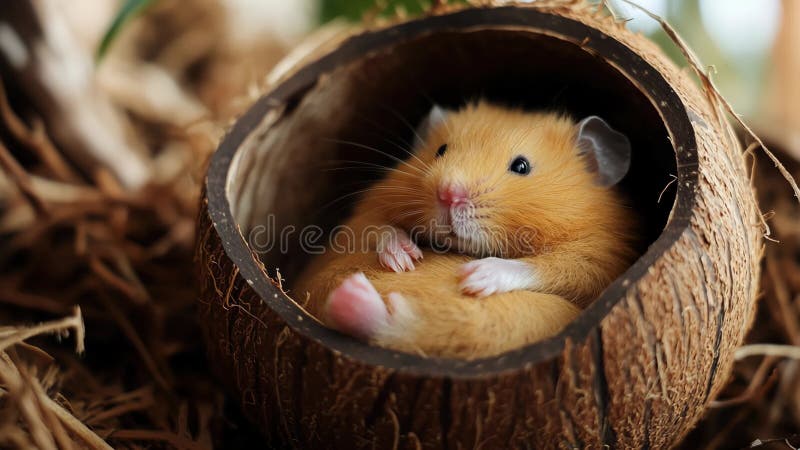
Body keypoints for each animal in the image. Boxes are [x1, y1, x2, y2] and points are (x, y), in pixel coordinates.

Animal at [294, 100, 637, 360]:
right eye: (441, 150)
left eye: (521, 166)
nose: (449, 193)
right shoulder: (369, 210)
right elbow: (377, 228)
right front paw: (405, 259)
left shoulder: (597, 260)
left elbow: (543, 267)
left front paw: (475, 276)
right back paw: (352, 292)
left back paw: (354, 297)